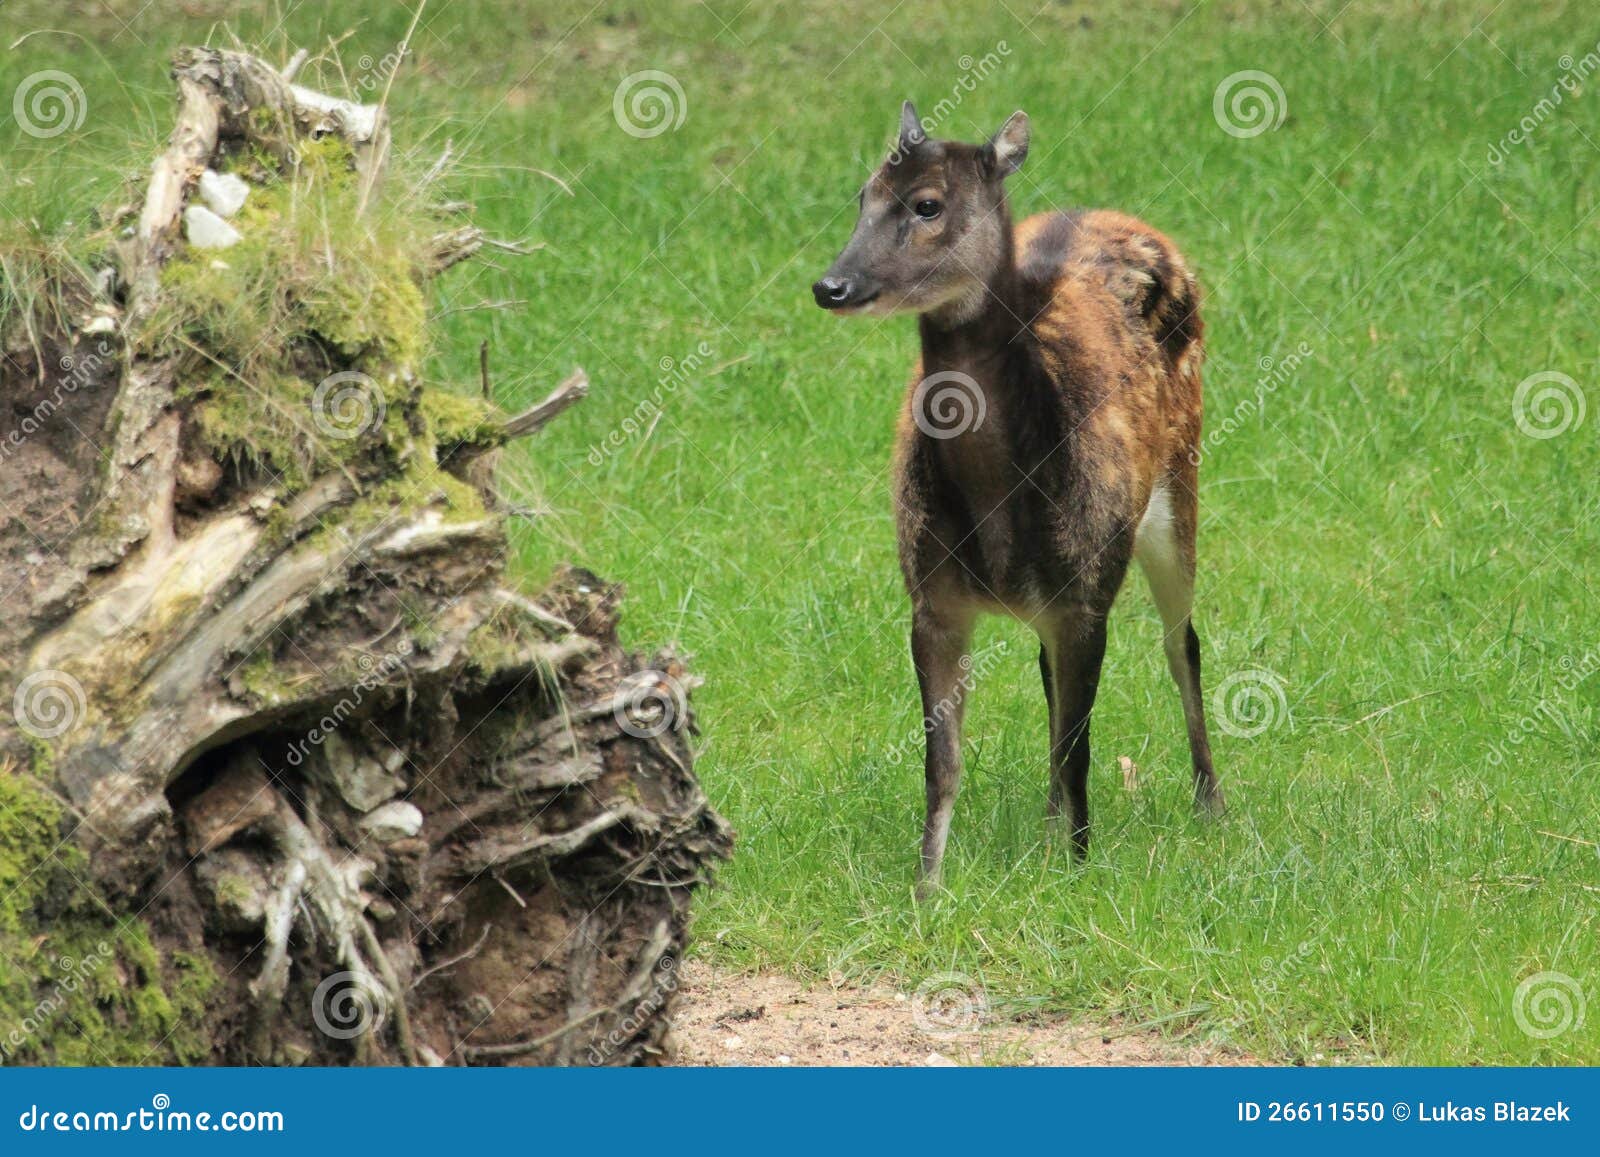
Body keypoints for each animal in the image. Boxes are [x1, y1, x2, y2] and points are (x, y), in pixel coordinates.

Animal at [812, 102, 1224, 897]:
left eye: (927, 204)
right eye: (862, 196)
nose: (832, 286)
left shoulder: (1087, 591)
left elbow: (1081, 745)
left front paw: (1077, 872)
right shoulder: (931, 595)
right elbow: (942, 760)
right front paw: (927, 886)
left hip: (1179, 474)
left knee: (1180, 639)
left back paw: (1210, 803)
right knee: (1050, 675)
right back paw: (1046, 816)